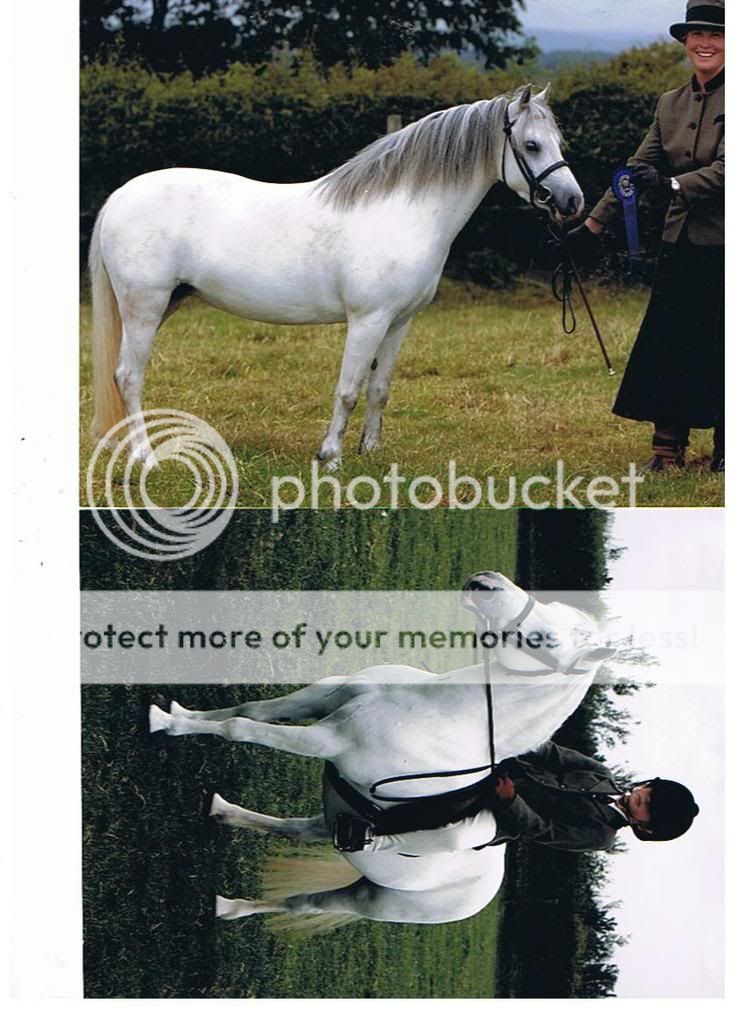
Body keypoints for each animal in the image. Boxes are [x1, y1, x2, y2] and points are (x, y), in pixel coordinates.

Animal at [89, 85, 583, 468]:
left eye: (558, 141)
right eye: (532, 145)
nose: (573, 202)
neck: (402, 213)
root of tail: (119, 197)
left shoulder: (399, 323)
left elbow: (379, 388)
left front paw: (371, 451)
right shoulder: (368, 320)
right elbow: (348, 389)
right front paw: (330, 457)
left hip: (163, 304)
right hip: (145, 305)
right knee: (129, 376)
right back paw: (145, 456)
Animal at [148, 571, 614, 928]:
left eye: (543, 639)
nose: (485, 583)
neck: (432, 705)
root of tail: (483, 894)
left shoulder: (325, 739)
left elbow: (240, 728)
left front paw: (166, 722)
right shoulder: (322, 697)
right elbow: (250, 711)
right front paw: (182, 712)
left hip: (372, 899)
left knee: (304, 903)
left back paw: (229, 907)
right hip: (337, 818)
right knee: (299, 830)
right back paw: (223, 812)